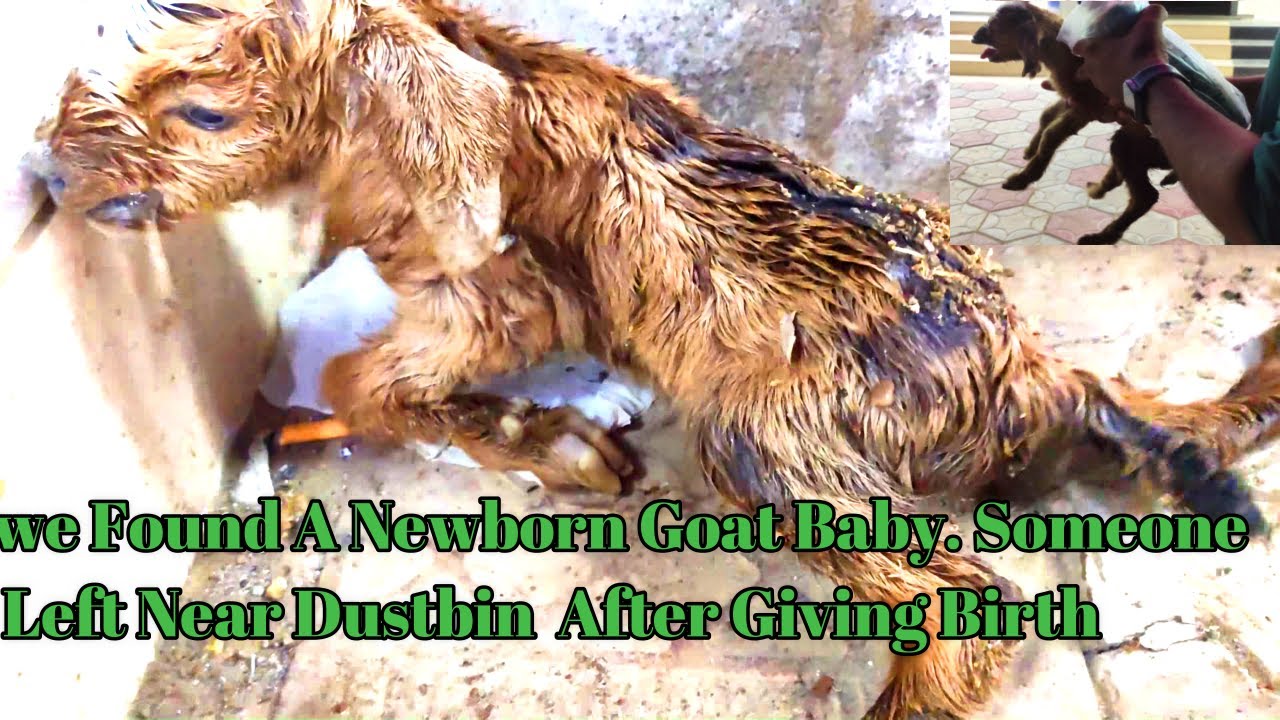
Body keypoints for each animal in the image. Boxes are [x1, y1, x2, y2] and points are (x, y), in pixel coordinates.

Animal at [28, 1, 1275, 717]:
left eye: (202, 114)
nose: (50, 175)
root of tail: (1024, 381)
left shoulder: (497, 292)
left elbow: (364, 383)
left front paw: (560, 451)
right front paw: (567, 441)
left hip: (764, 439)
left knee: (966, 601)